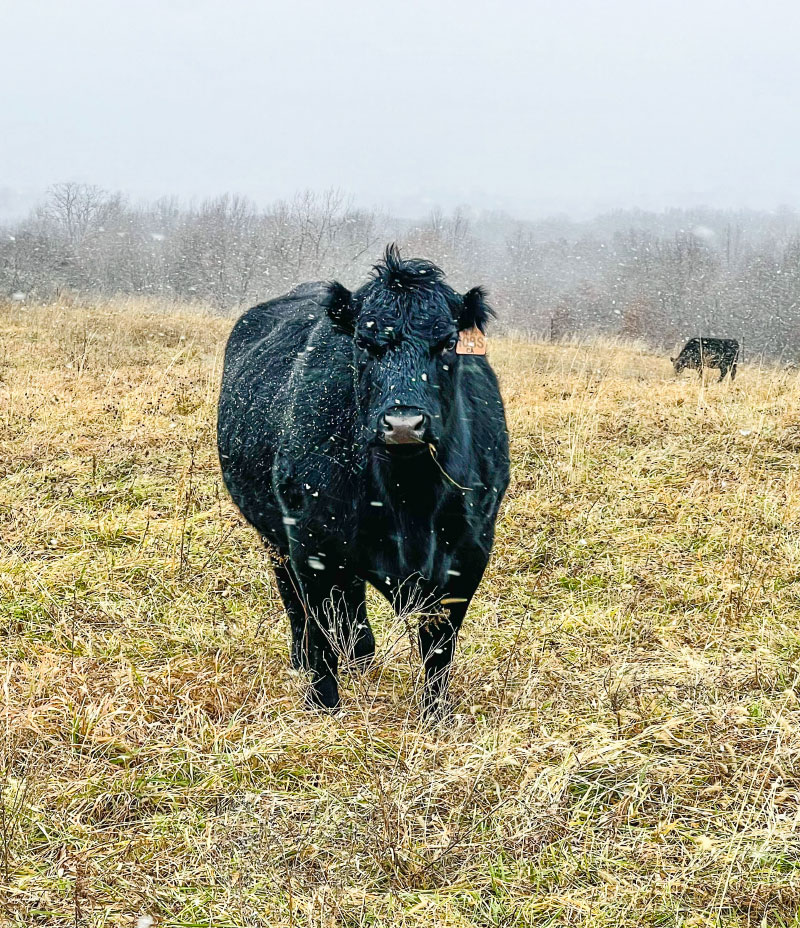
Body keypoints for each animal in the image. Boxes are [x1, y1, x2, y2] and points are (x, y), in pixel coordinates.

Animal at [217, 246, 510, 716]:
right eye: (362, 343)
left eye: (447, 343)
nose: (404, 424)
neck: (409, 496)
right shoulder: (311, 543)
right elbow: (320, 631)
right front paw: (324, 706)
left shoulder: (470, 550)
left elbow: (439, 645)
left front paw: (434, 715)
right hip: (276, 537)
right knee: (297, 603)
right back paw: (306, 660)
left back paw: (362, 659)